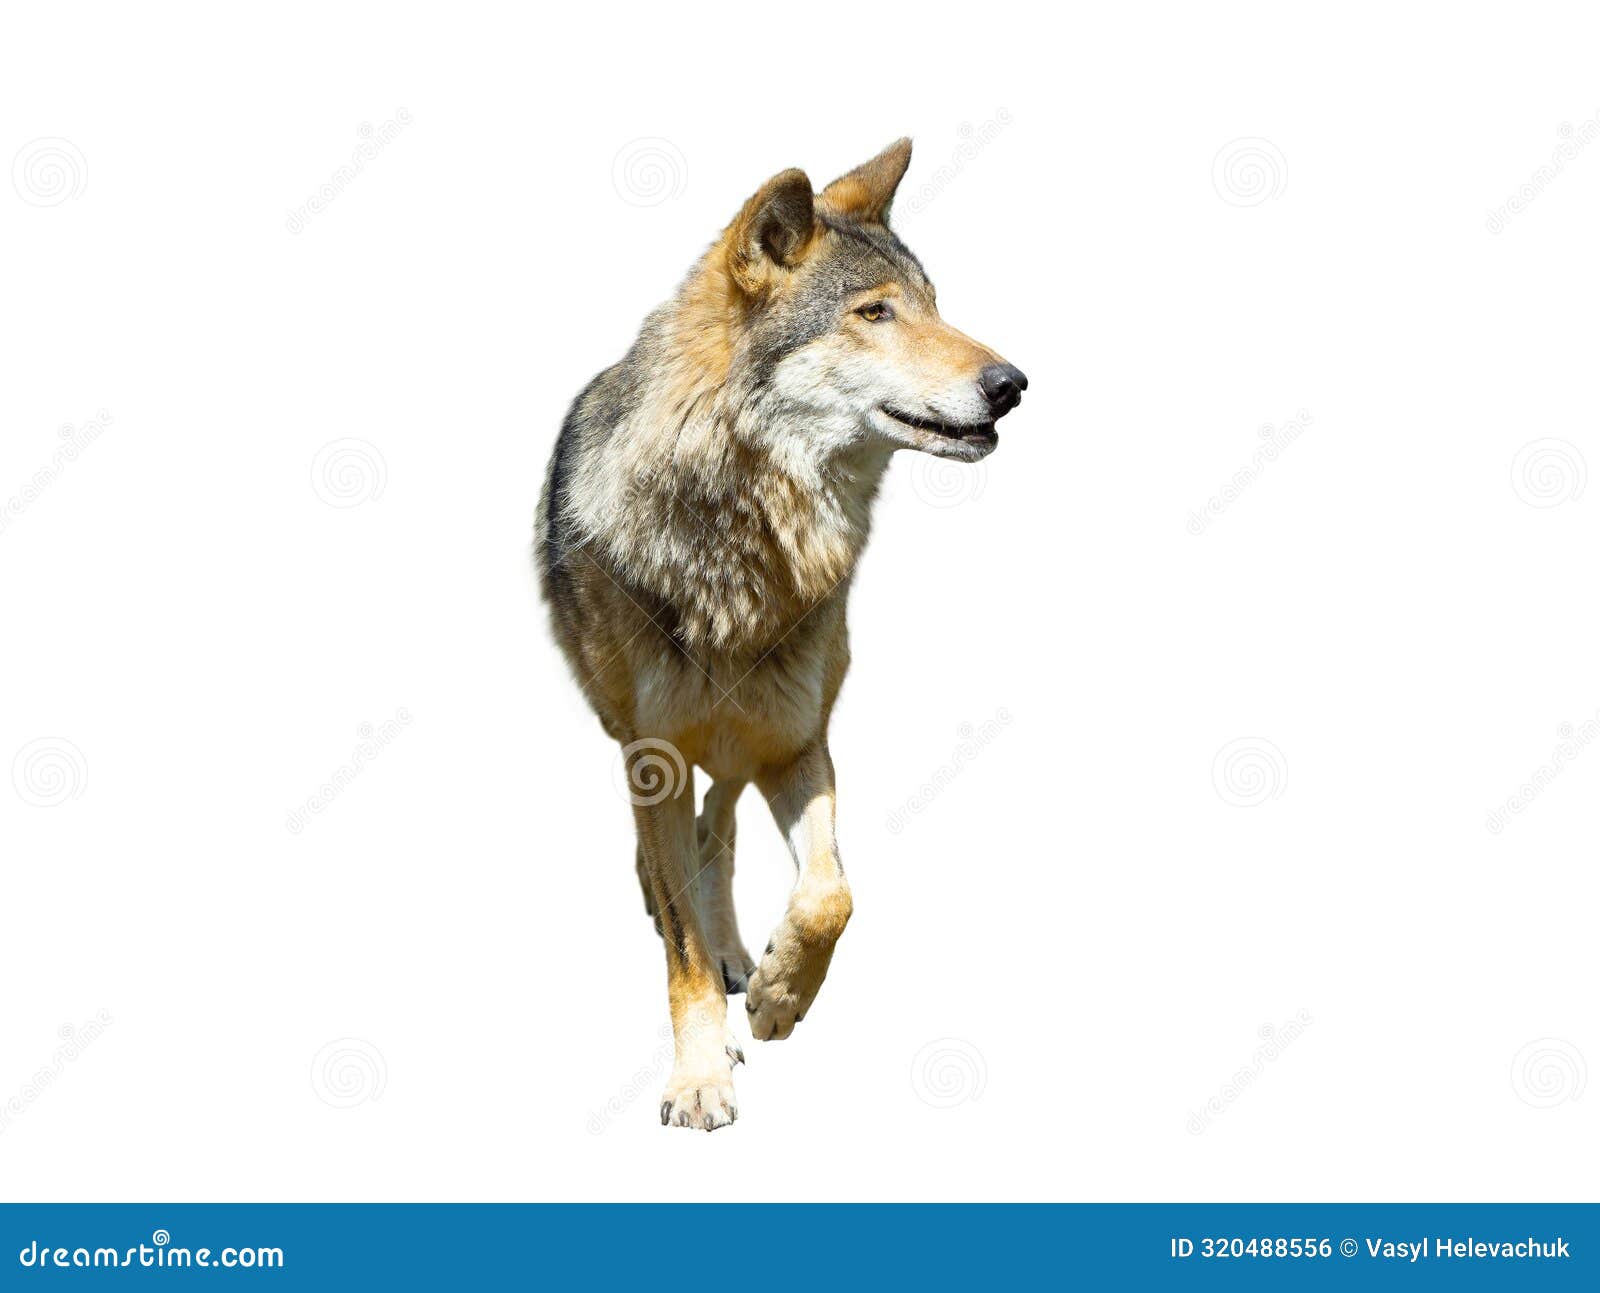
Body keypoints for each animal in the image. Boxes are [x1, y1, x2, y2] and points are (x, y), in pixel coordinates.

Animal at [536, 140, 1027, 1130]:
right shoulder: (655, 758)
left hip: (744, 741)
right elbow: (681, 944)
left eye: (934, 305)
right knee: (678, 858)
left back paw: (740, 956)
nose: (1012, 385)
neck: (747, 547)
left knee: (718, 835)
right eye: (873, 313)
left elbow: (831, 894)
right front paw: (698, 1074)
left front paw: (776, 996)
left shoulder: (800, 742)